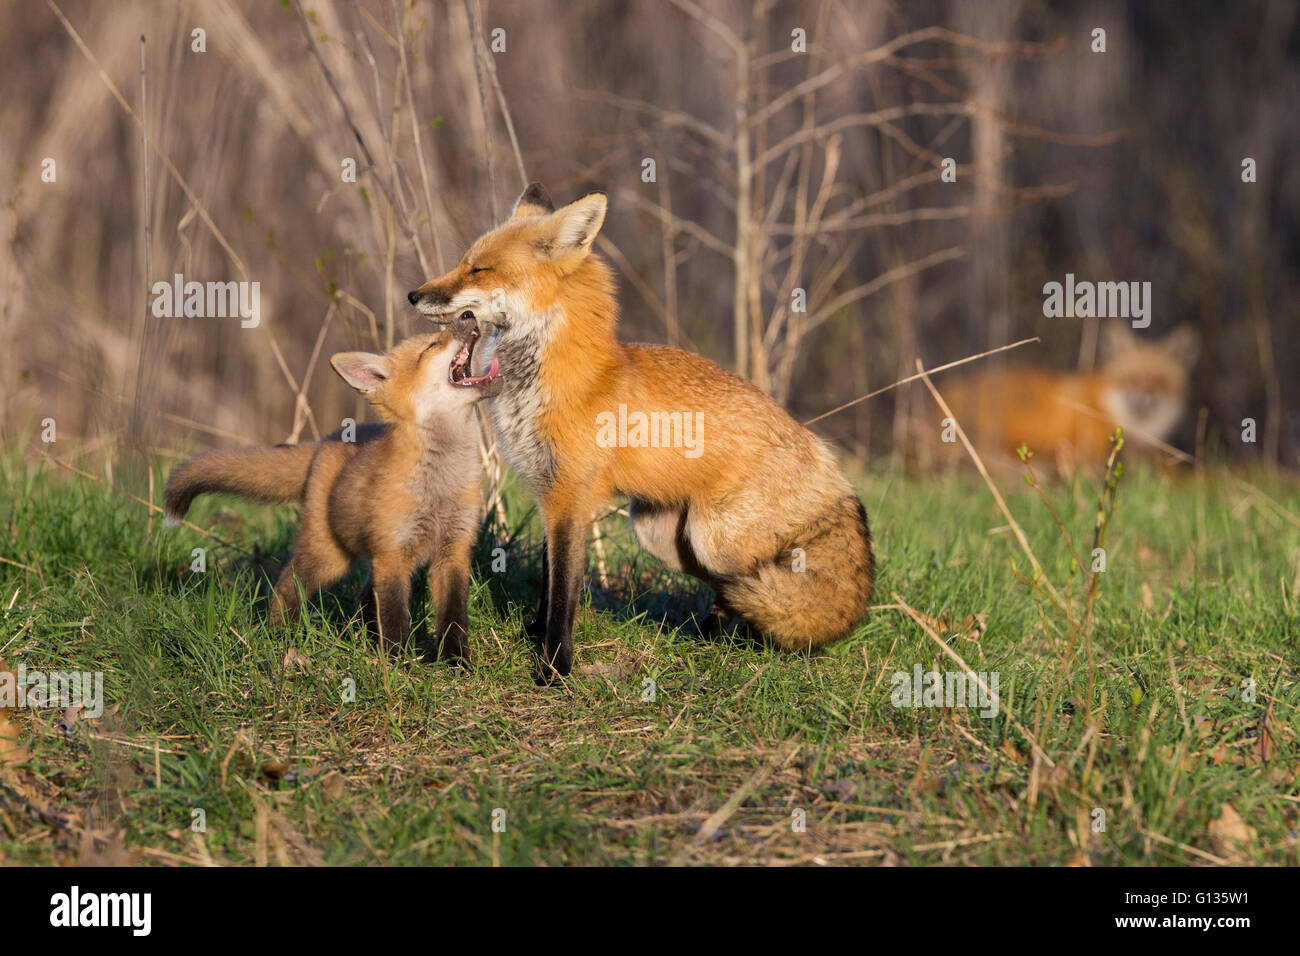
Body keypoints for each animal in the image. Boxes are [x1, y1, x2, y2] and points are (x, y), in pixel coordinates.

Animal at [163, 316, 501, 662]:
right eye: (431, 346)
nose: (468, 315)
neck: (439, 488)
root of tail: (322, 443)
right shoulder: (392, 555)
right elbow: (394, 615)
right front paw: (399, 662)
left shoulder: (454, 549)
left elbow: (453, 615)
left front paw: (456, 661)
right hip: (329, 556)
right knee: (287, 585)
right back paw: (280, 634)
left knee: (364, 598)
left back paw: (363, 637)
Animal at [408, 183, 874, 679]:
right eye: (464, 261)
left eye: (478, 268)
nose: (413, 295)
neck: (548, 381)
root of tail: (827, 460)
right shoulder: (551, 494)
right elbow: (549, 583)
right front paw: (534, 635)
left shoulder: (571, 498)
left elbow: (563, 596)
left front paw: (554, 668)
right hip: (662, 535)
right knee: (730, 592)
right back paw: (708, 637)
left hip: (714, 539)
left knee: (755, 588)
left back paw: (748, 640)